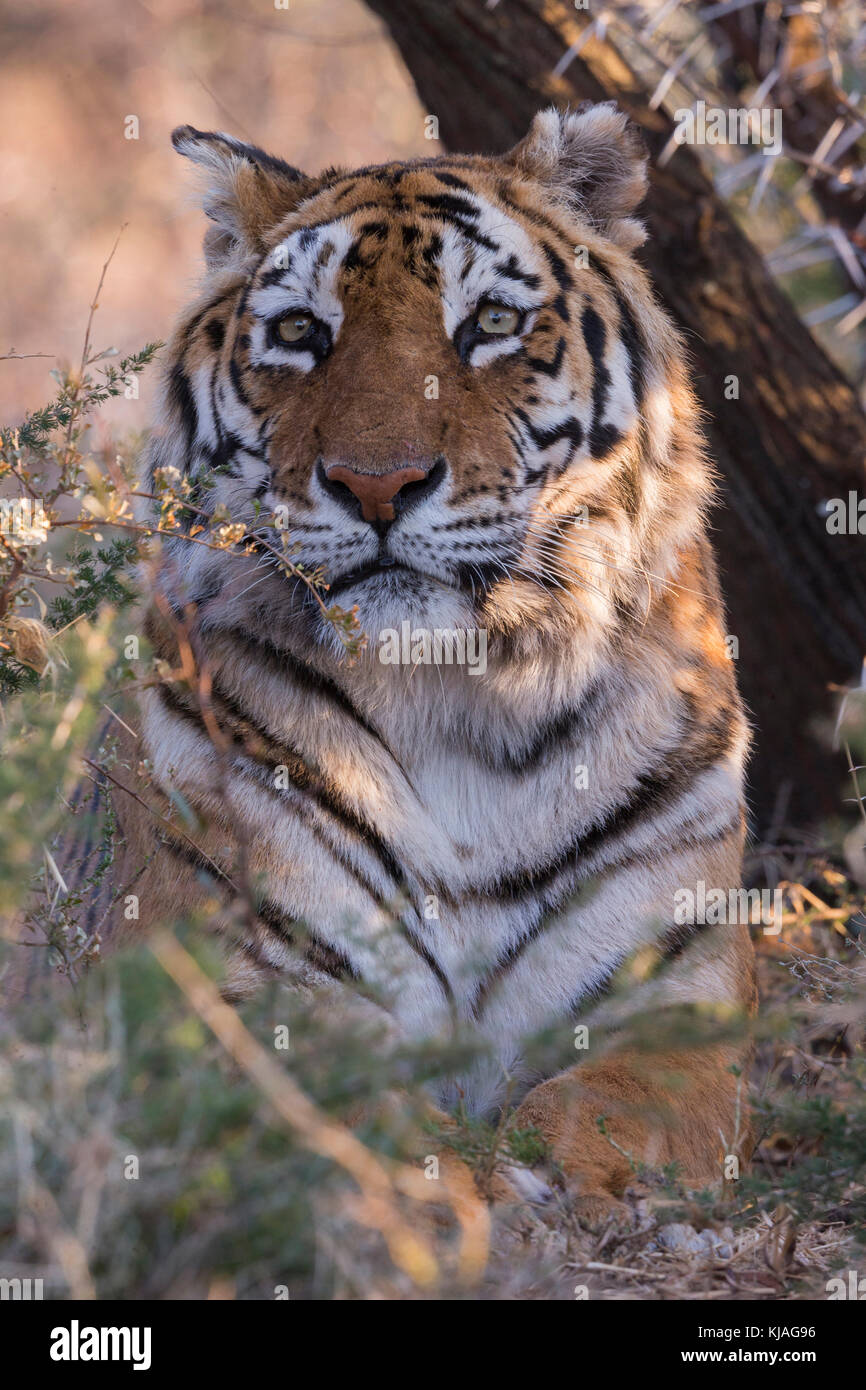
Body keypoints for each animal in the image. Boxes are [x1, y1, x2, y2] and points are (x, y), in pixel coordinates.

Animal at [108, 102, 756, 1217]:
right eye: (300, 334)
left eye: (489, 323)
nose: (378, 484)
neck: (462, 697)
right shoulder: (241, 988)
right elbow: (349, 1111)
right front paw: (444, 1192)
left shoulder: (681, 997)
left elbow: (623, 1101)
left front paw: (549, 1174)